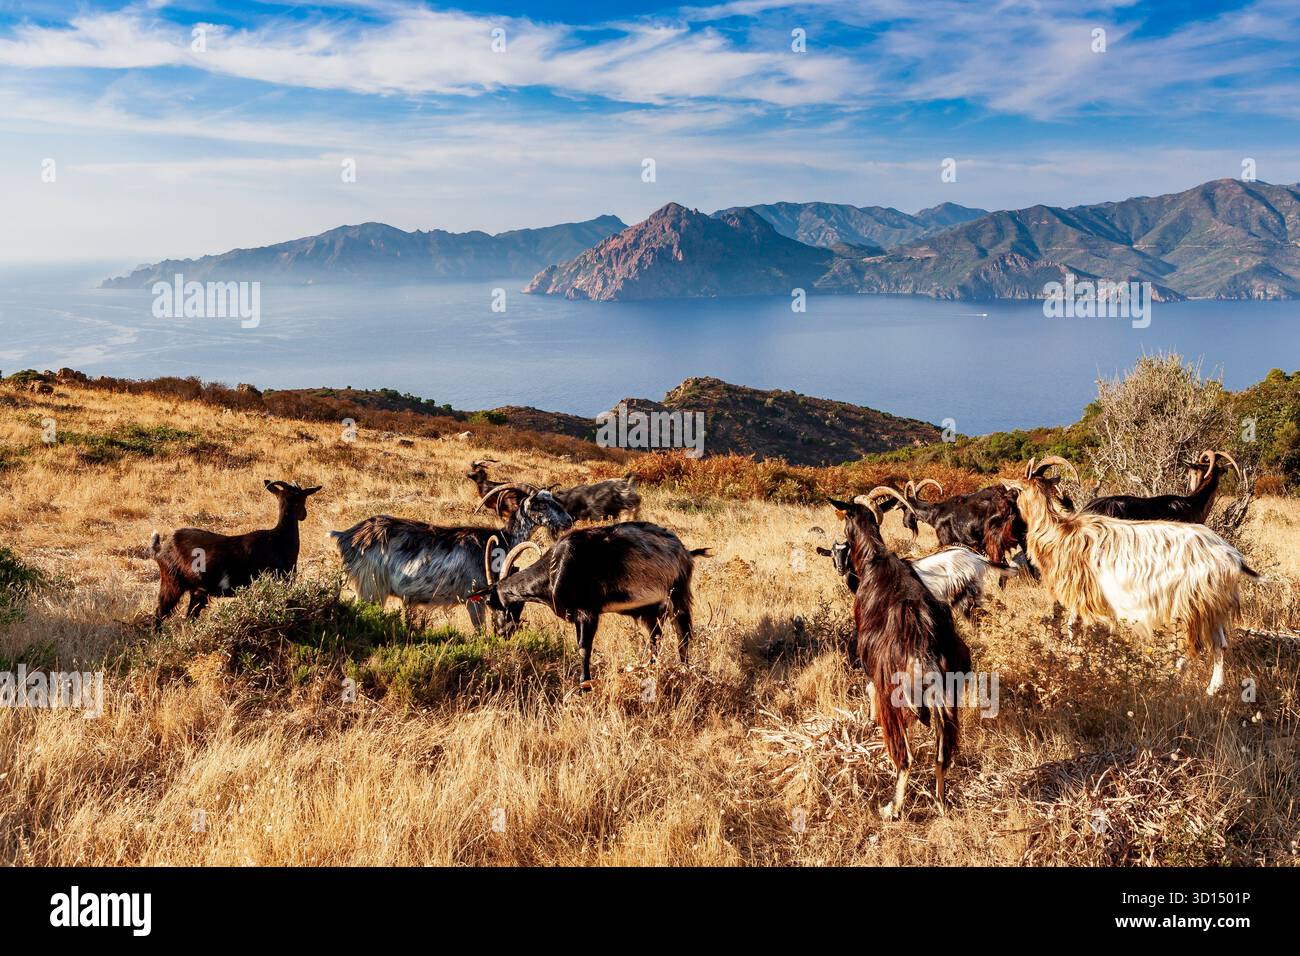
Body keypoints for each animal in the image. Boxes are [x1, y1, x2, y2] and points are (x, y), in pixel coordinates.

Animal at [151, 480, 321, 626]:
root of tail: (160, 549)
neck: (279, 539)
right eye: (303, 497)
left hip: (197, 590)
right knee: (160, 612)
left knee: (189, 615)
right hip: (172, 581)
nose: (304, 515)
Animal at [328, 484, 573, 632]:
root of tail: (347, 535)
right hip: (371, 588)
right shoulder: (474, 598)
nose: (569, 520)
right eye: (541, 504)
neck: (501, 541)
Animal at [469, 522, 708, 690]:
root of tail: (685, 552)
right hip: (650, 609)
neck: (554, 569)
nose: (500, 633)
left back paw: (684, 670)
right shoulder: (576, 615)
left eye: (491, 603)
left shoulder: (588, 612)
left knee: (683, 635)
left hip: (678, 596)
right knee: (655, 639)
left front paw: (584, 684)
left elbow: (585, 648)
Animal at [829, 487, 971, 819]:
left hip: (894, 696)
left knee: (905, 756)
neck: (873, 557)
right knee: (942, 753)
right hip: (948, 697)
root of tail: (925, 647)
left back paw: (892, 808)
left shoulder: (870, 663)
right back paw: (941, 803)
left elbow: (868, 687)